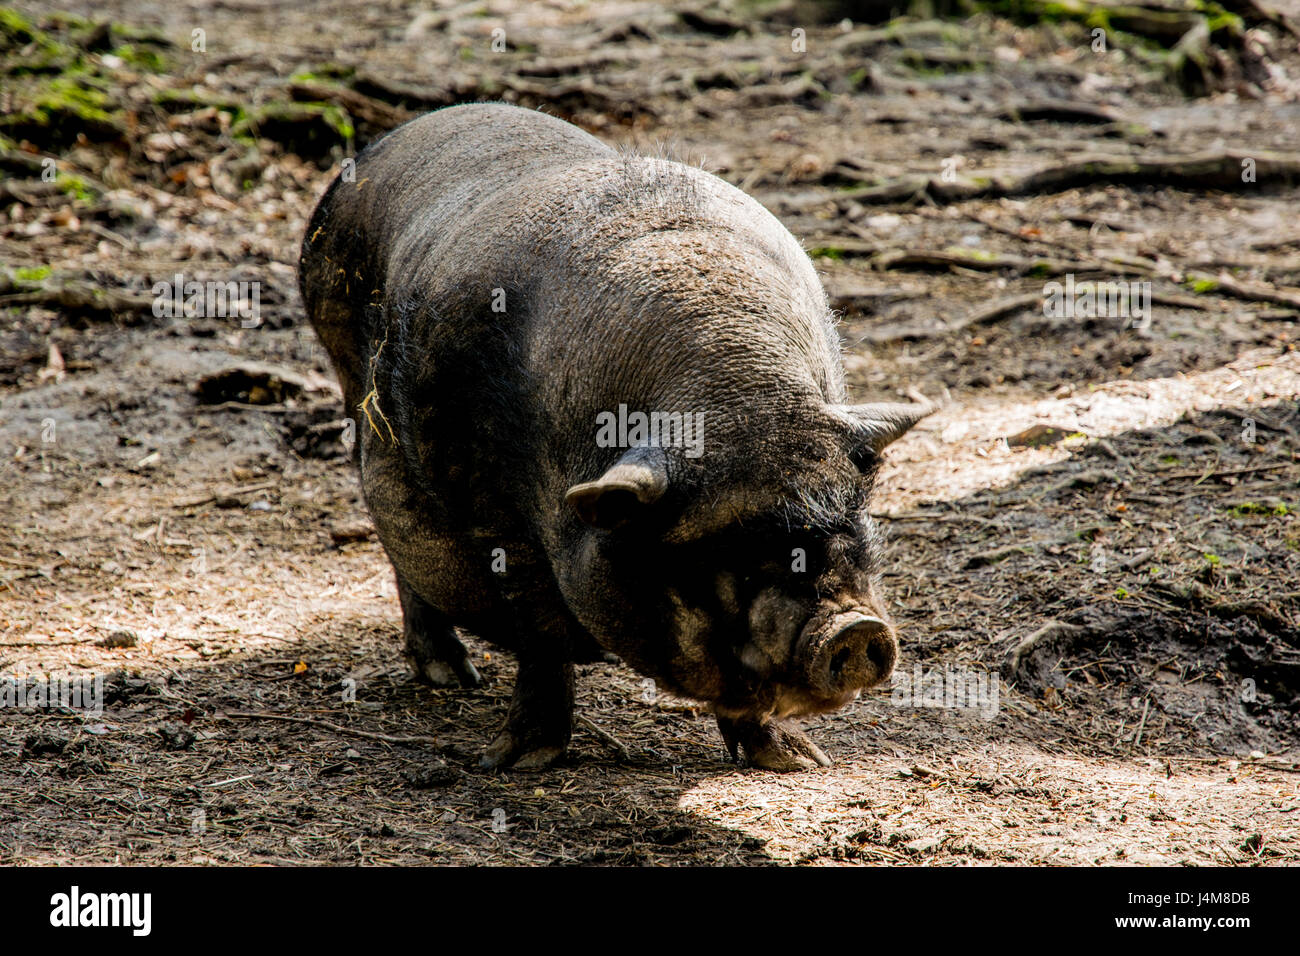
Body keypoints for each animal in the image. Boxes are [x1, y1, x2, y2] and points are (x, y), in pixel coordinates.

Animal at [298, 103, 932, 771]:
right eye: (725, 544)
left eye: (853, 514)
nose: (856, 630)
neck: (741, 398)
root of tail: (375, 151)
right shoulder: (498, 516)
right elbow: (542, 636)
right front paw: (515, 763)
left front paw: (797, 762)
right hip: (346, 367)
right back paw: (453, 677)